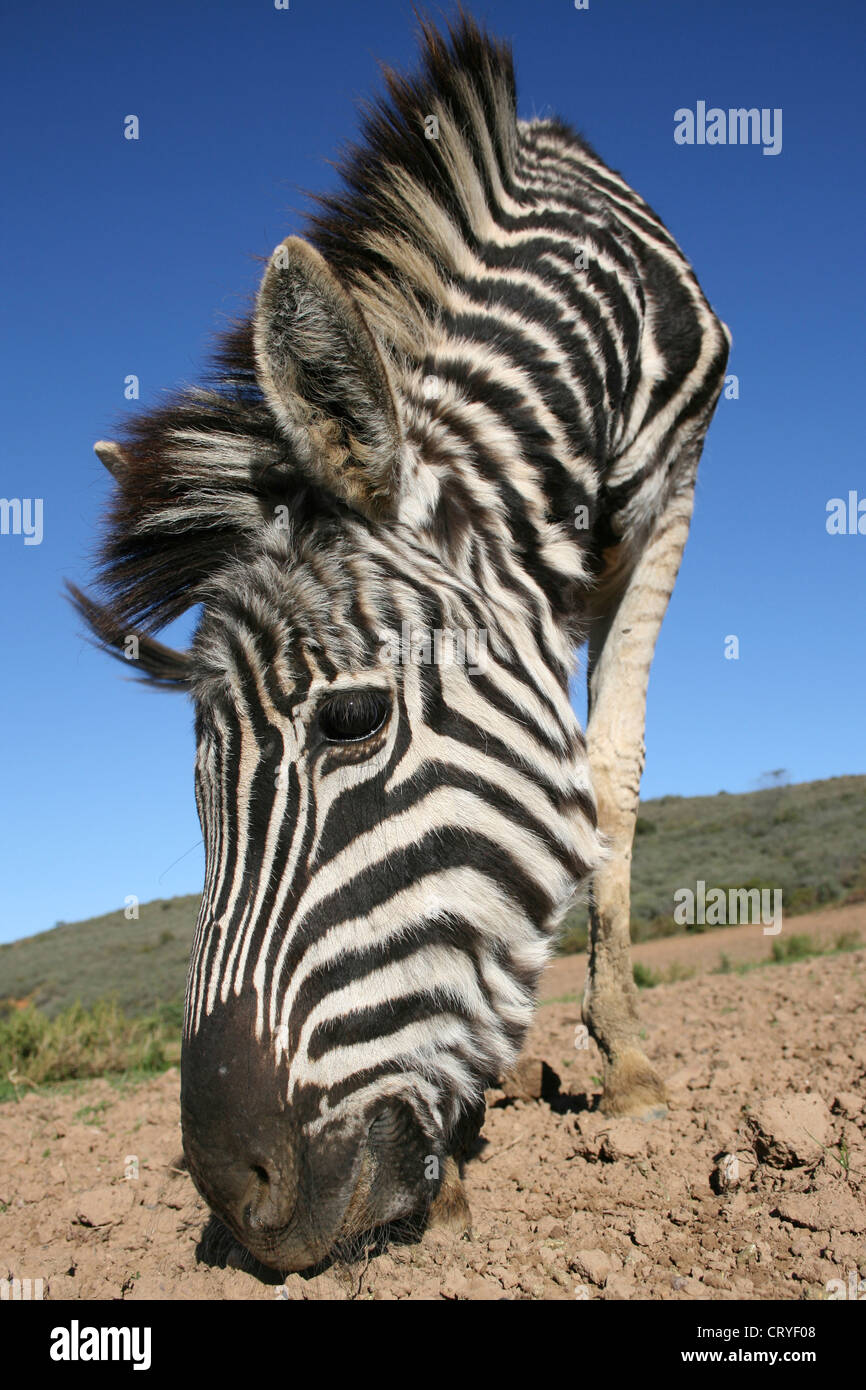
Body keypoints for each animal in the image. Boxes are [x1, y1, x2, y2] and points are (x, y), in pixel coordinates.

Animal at [71, 15, 729, 1271]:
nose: (238, 1194)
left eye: (351, 719)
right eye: (196, 781)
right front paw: (464, 1135)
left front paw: (624, 1065)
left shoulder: (673, 488)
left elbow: (608, 772)